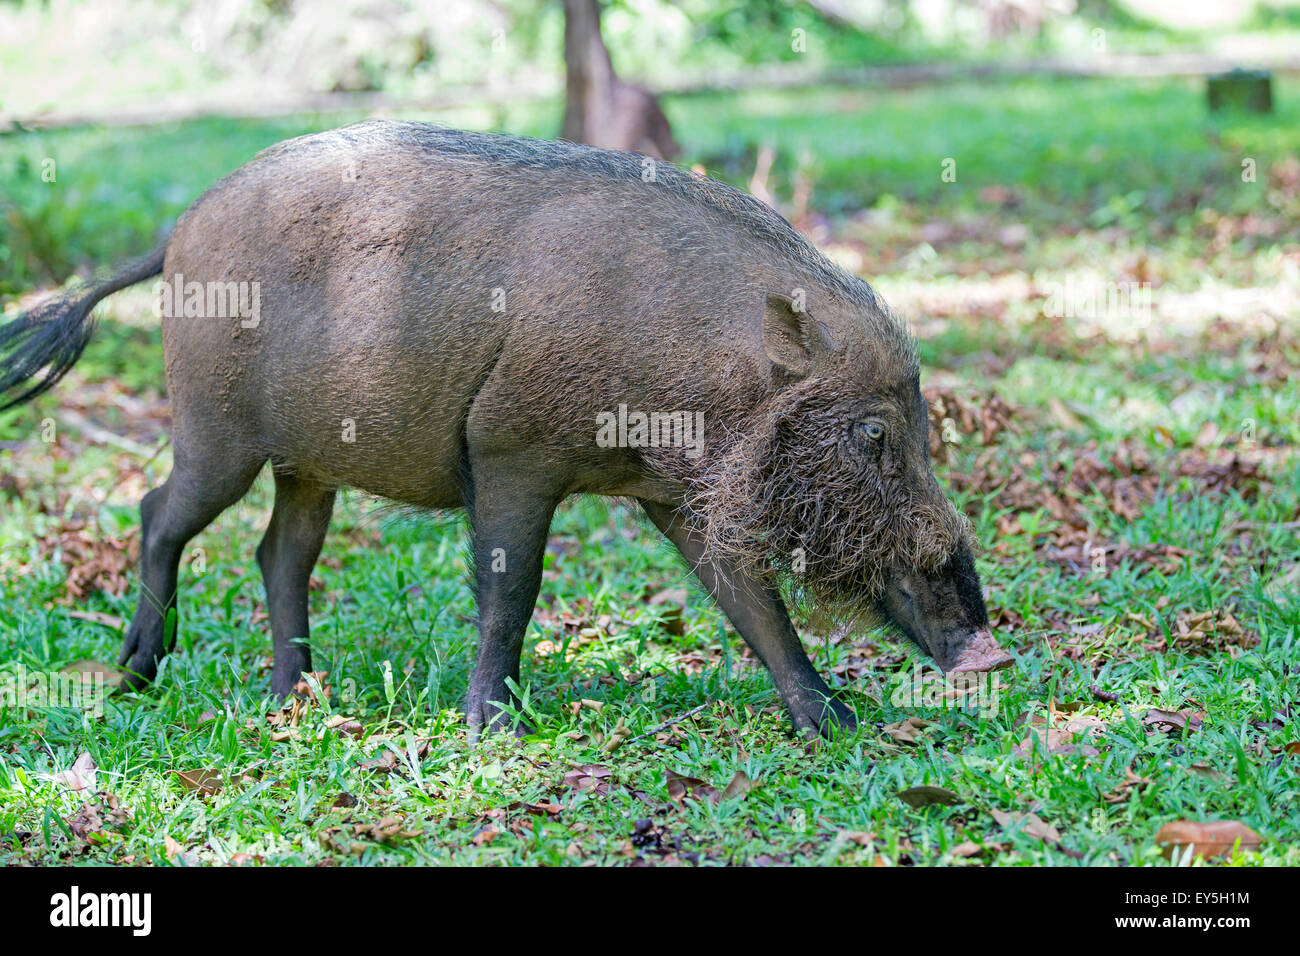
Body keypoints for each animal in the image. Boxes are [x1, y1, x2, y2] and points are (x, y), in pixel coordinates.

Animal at [0, 121, 1012, 740]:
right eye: (876, 435)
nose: (991, 649)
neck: (705, 367)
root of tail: (174, 234)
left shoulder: (678, 494)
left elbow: (753, 604)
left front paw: (835, 724)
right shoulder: (509, 451)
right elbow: (511, 588)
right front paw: (493, 727)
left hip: (307, 462)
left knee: (280, 551)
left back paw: (297, 699)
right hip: (217, 432)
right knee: (158, 511)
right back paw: (136, 673)